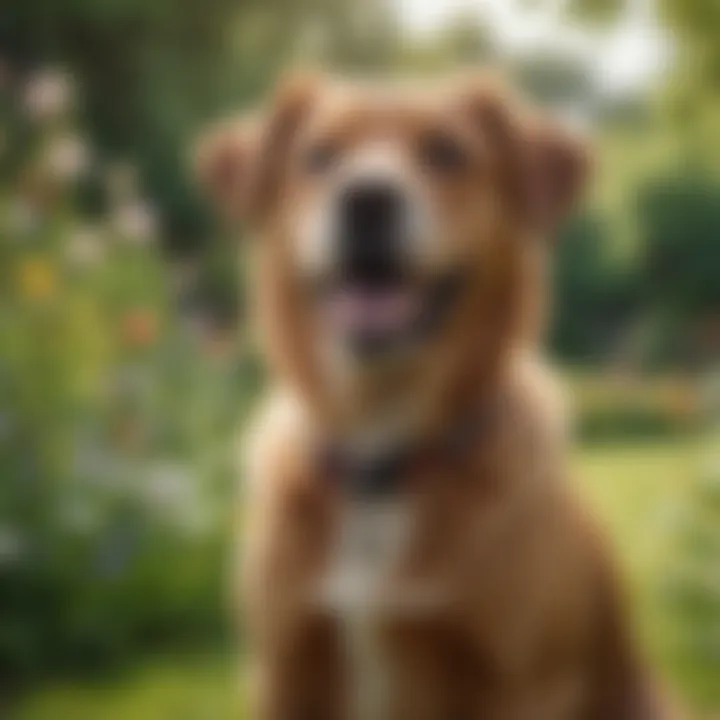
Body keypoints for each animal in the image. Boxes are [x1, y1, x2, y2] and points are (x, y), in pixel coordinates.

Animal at [195, 73, 668, 720]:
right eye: (318, 155)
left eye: (447, 151)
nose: (367, 200)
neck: (383, 456)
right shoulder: (283, 668)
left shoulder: (518, 682)